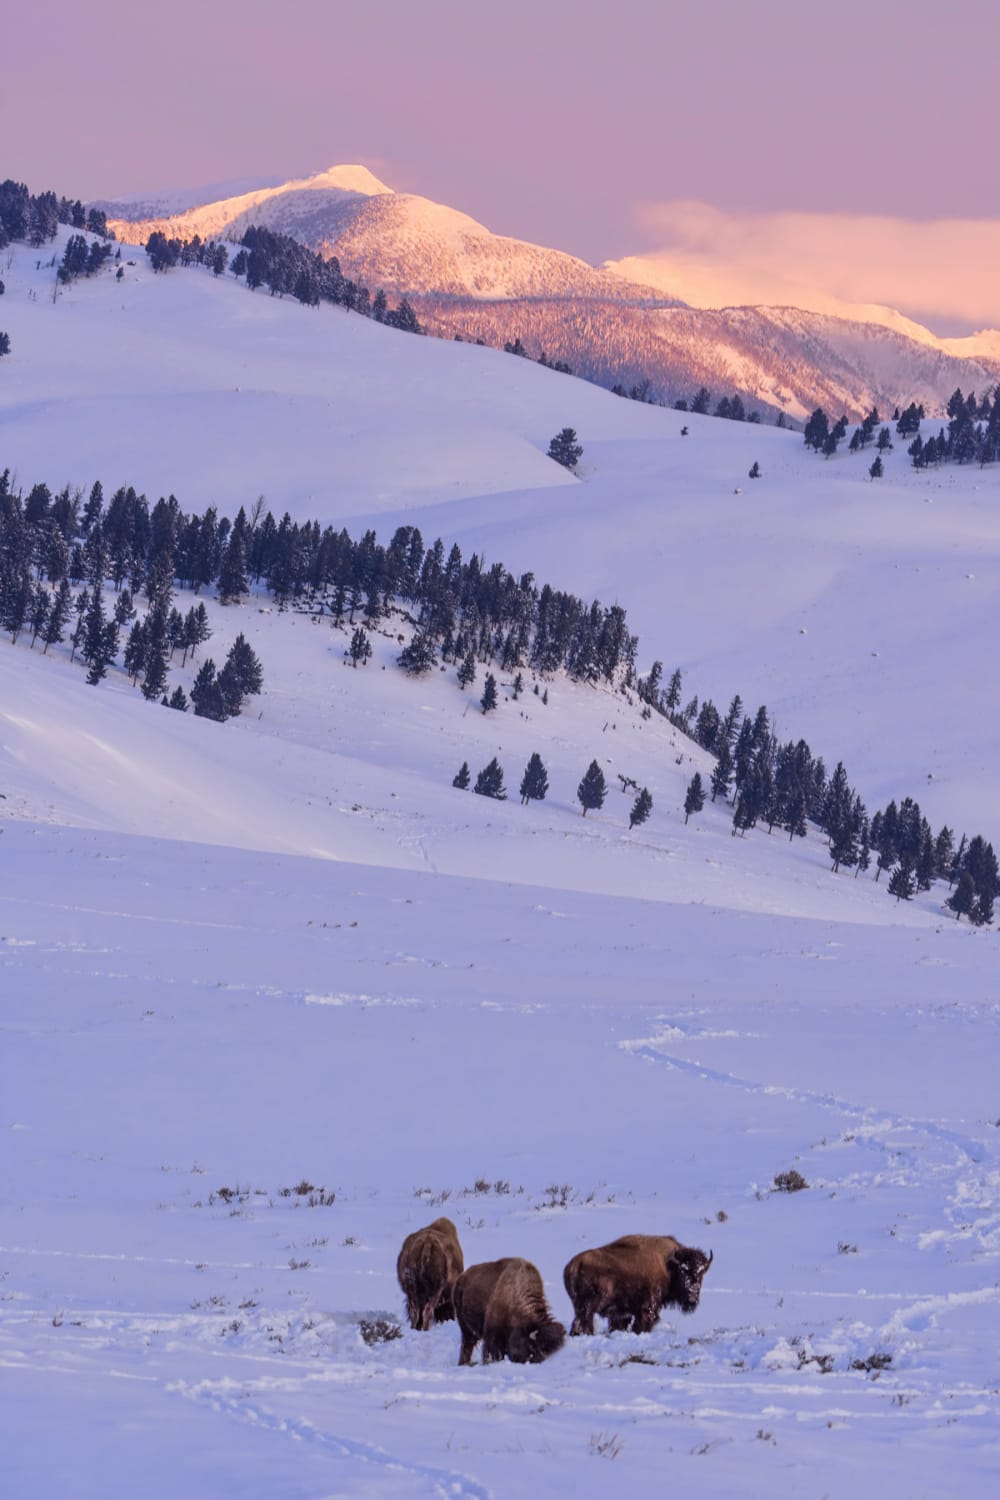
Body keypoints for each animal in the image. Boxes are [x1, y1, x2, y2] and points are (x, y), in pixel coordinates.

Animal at [563, 1234, 713, 1336]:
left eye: (701, 1274)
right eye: (683, 1271)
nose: (692, 1299)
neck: (668, 1265)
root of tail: (576, 1264)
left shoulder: (623, 1314)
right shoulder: (648, 1309)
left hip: (579, 1306)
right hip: (590, 1306)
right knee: (584, 1323)